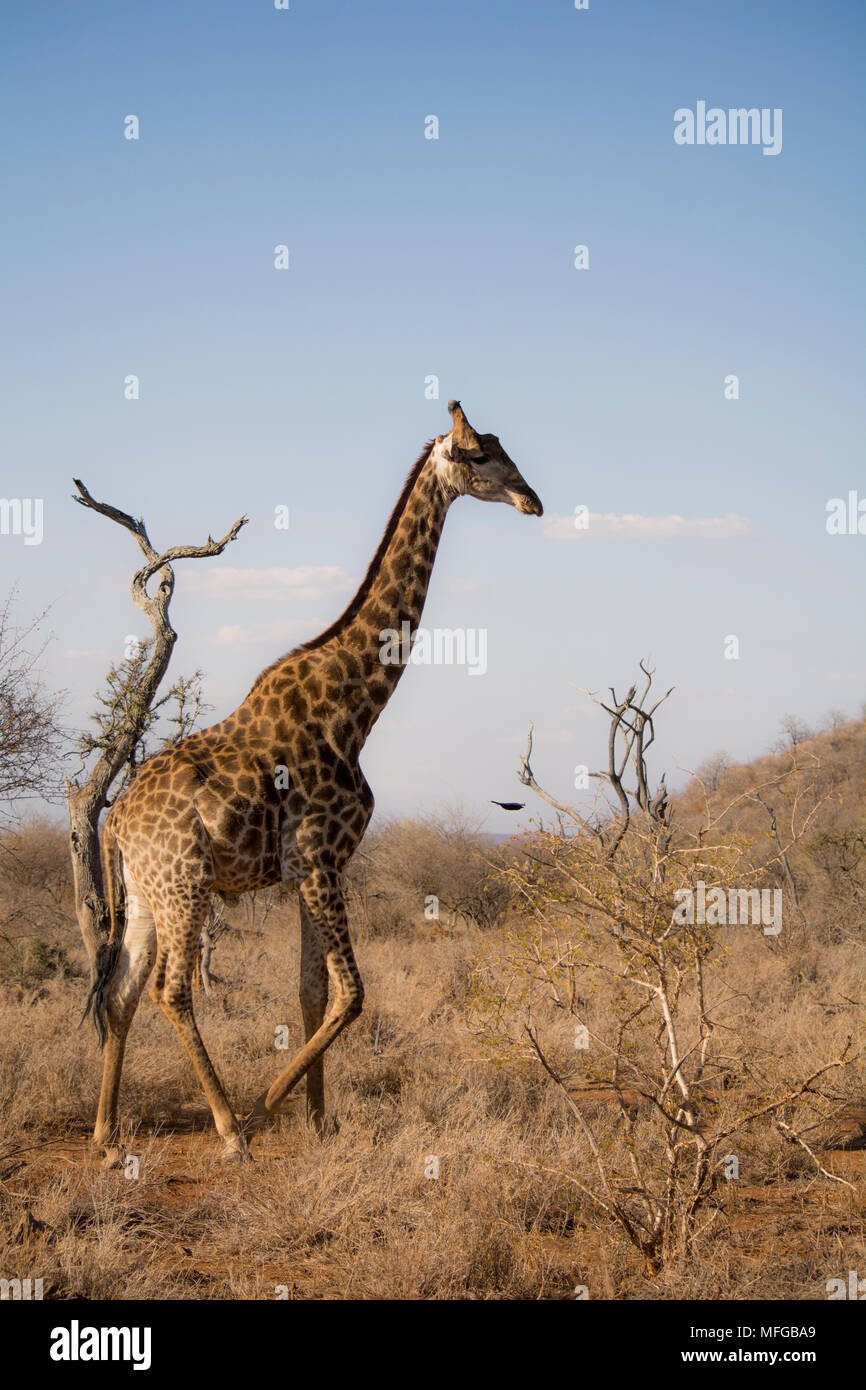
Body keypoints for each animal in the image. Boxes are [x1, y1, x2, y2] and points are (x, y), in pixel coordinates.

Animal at [87, 400, 543, 1164]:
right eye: (479, 454)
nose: (532, 500)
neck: (354, 709)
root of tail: (114, 821)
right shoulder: (319, 857)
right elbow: (351, 993)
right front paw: (270, 1106)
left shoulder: (314, 866)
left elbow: (310, 991)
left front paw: (320, 1120)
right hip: (184, 881)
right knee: (171, 990)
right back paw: (229, 1126)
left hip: (145, 891)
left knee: (121, 991)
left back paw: (104, 1129)